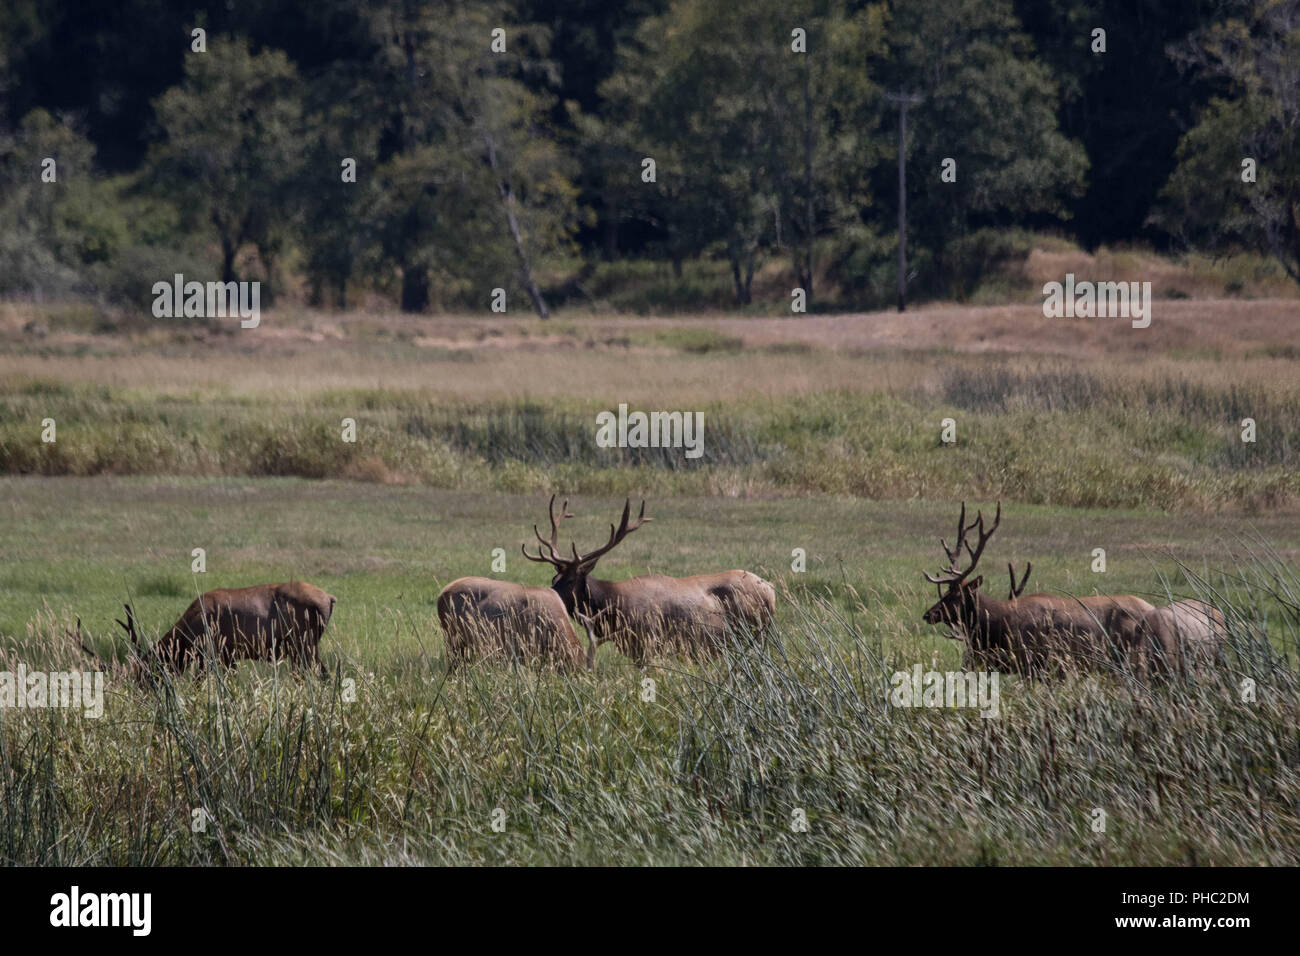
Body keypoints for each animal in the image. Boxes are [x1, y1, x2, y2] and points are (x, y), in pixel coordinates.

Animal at [75, 581, 337, 681]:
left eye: (145, 674)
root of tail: (330, 598)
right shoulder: (228, 656)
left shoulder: (210, 653)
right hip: (302, 649)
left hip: (305, 645)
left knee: (322, 674)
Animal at [522, 496, 776, 664]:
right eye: (554, 576)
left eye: (571, 579)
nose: (546, 597)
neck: (614, 608)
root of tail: (771, 591)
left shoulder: (649, 643)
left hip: (755, 633)